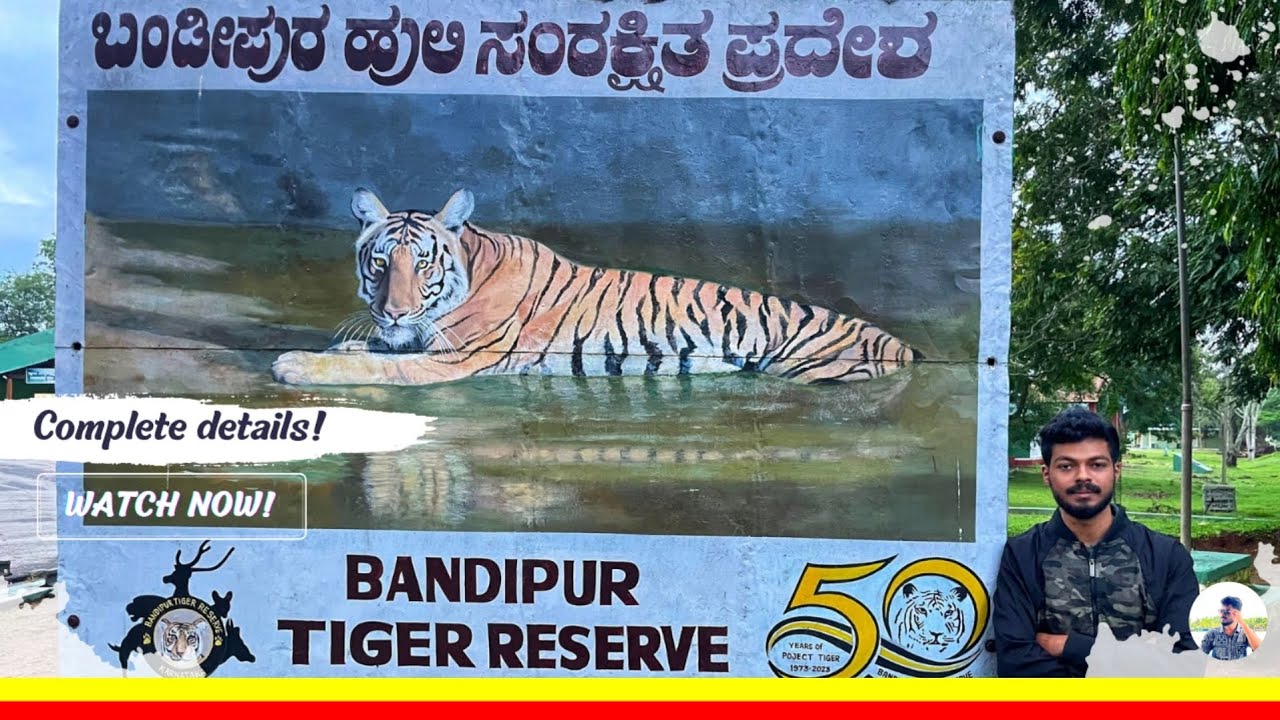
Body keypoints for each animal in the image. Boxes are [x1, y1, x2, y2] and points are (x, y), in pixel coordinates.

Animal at [271, 188, 923, 387]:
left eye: (424, 265)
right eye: (381, 264)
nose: (394, 310)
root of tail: (905, 347)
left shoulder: (455, 359)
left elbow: (382, 367)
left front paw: (296, 364)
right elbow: (369, 348)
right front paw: (342, 343)